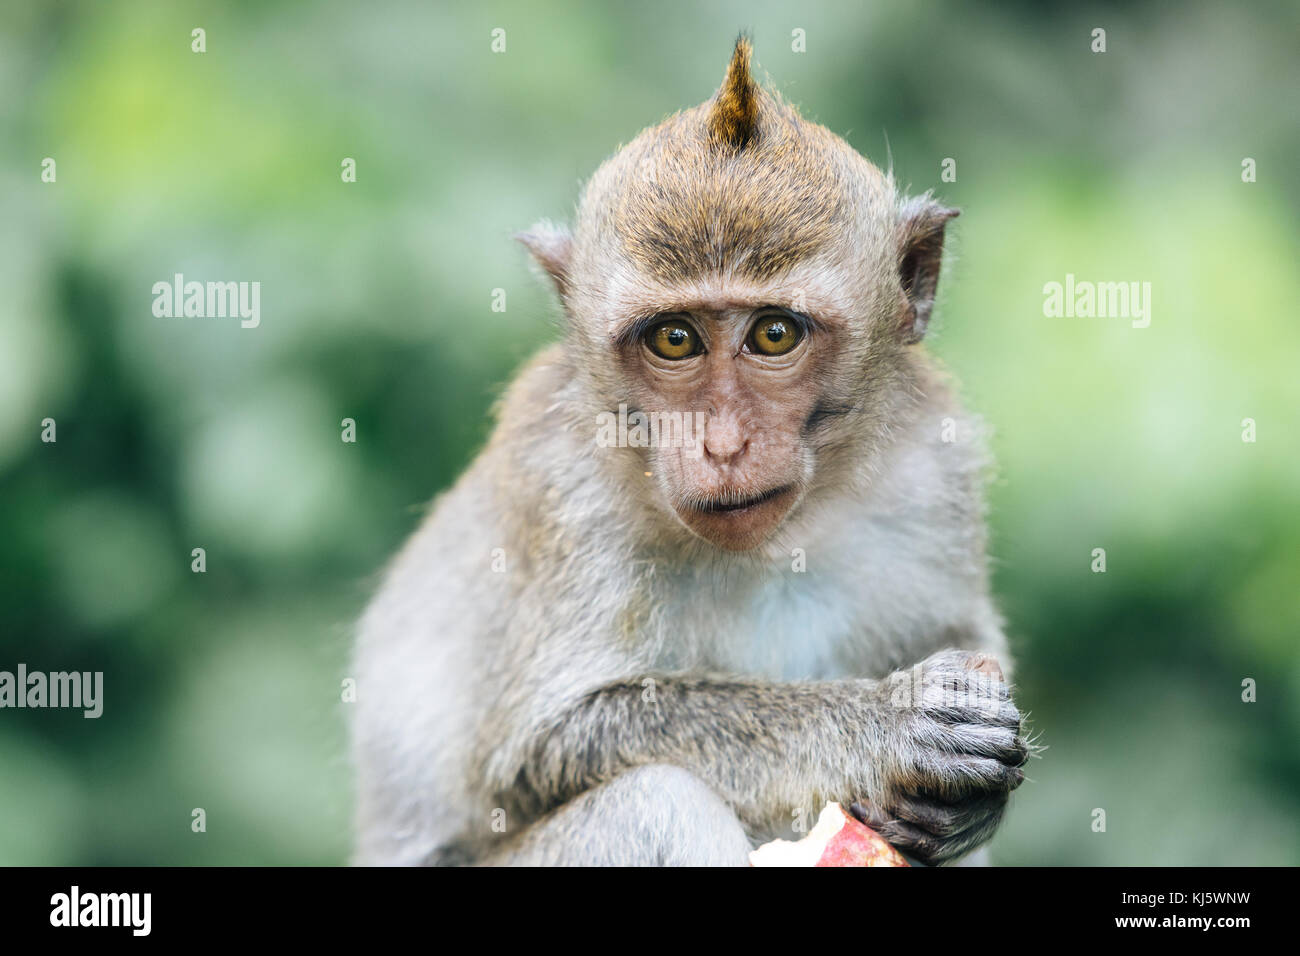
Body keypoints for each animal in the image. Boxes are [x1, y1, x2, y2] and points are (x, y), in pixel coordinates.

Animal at [350, 37, 1030, 867]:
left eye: (774, 333)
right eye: (674, 339)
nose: (723, 443)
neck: (783, 539)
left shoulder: (935, 465)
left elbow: (964, 640)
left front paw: (968, 806)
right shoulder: (566, 492)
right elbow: (543, 742)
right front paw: (888, 722)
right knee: (653, 802)